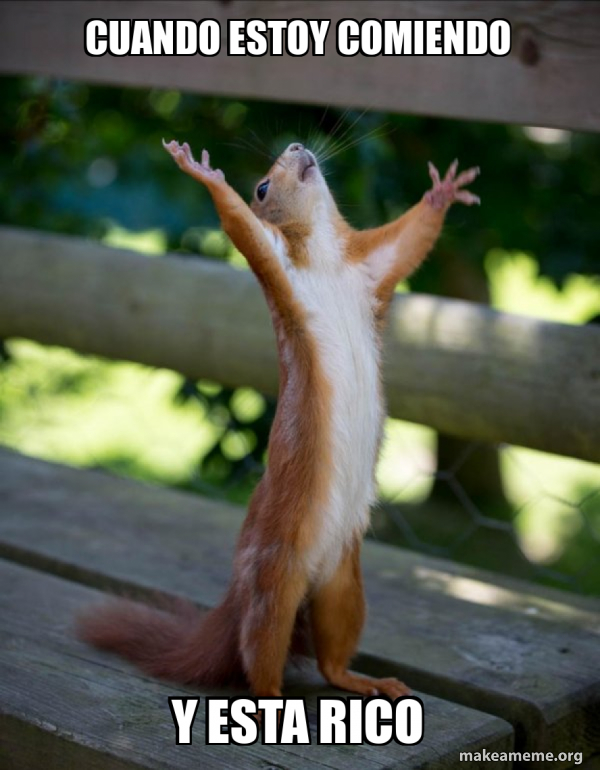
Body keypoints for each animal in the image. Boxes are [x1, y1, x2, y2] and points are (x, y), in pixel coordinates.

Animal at [78, 139, 479, 700]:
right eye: (262, 187)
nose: (296, 146)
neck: (327, 259)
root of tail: (238, 595)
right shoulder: (277, 265)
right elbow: (240, 226)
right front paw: (203, 173)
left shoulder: (372, 267)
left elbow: (410, 239)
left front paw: (442, 192)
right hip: (273, 583)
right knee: (259, 659)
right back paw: (273, 699)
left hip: (344, 586)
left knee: (331, 657)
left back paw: (366, 680)